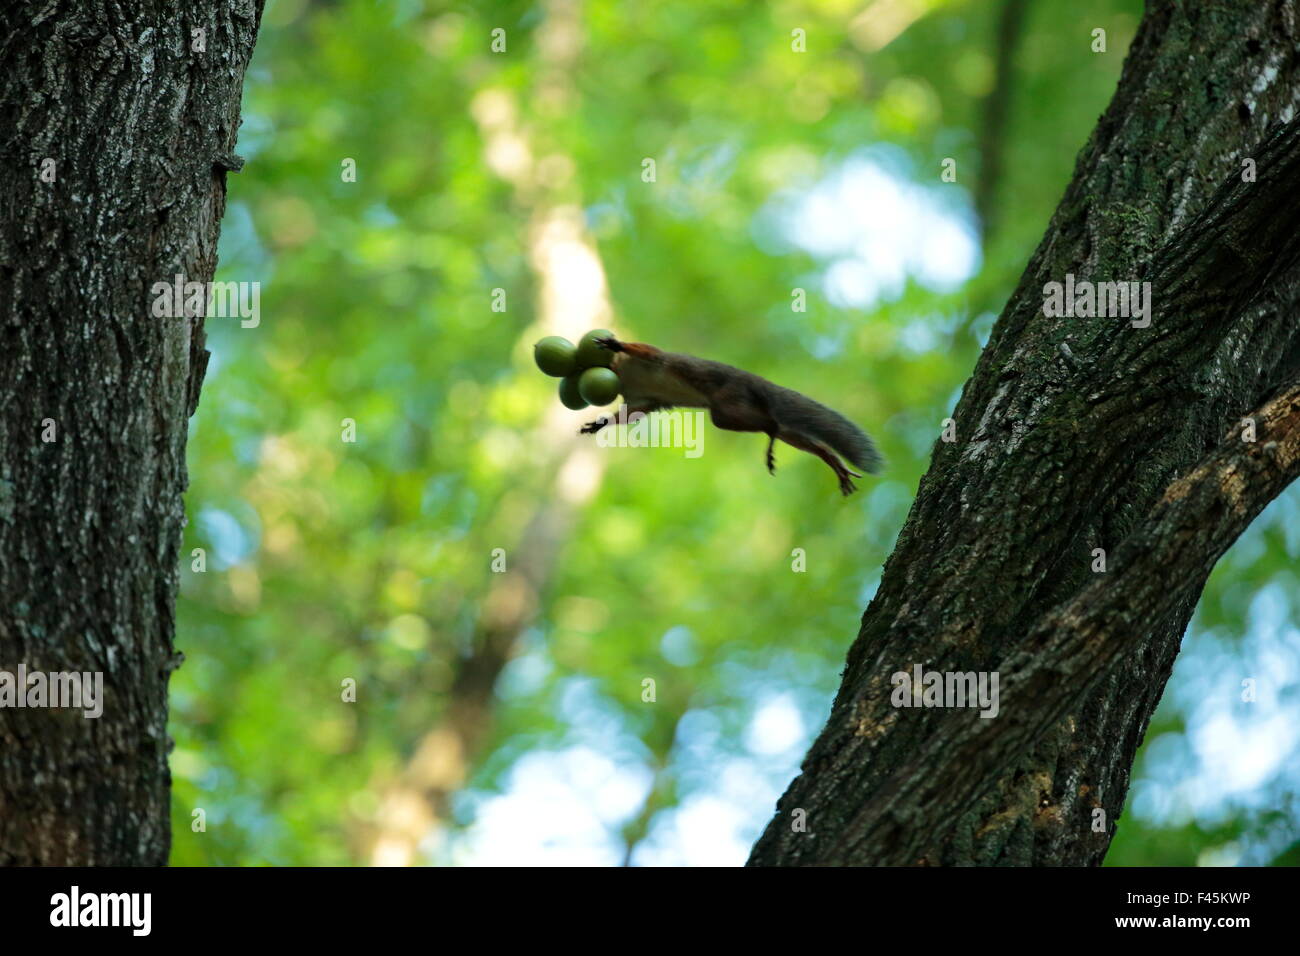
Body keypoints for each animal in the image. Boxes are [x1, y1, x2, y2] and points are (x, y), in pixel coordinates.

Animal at [578, 335, 883, 495]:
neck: (621, 373)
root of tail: (755, 382)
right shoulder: (643, 399)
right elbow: (629, 415)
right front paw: (597, 425)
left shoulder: (654, 360)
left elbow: (644, 350)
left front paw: (614, 343)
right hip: (752, 415)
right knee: (802, 438)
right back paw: (833, 462)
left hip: (730, 408)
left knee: (770, 425)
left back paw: (773, 442)